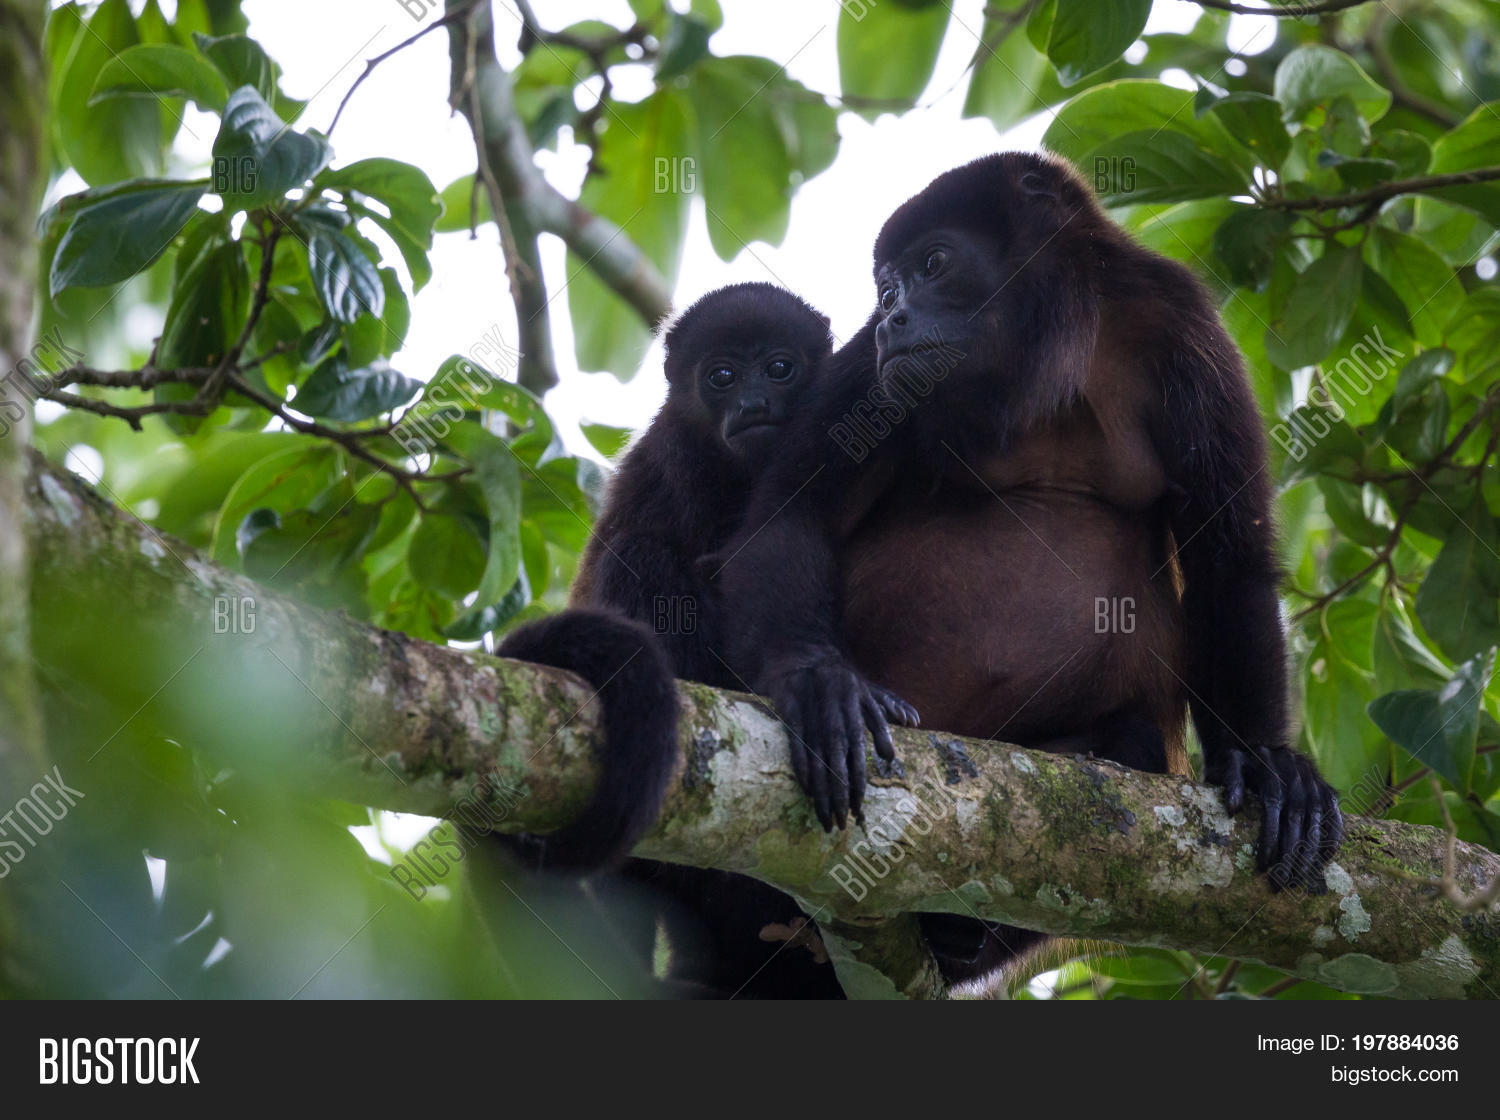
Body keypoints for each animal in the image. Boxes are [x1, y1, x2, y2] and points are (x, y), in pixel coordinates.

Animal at [712, 153, 1344, 988]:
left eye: (933, 264)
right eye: (884, 288)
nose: (889, 319)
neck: (1055, 354)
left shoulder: (1180, 322)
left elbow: (1228, 557)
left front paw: (1267, 763)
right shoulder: (875, 370)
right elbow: (793, 513)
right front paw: (818, 683)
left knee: (1136, 741)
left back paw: (952, 930)